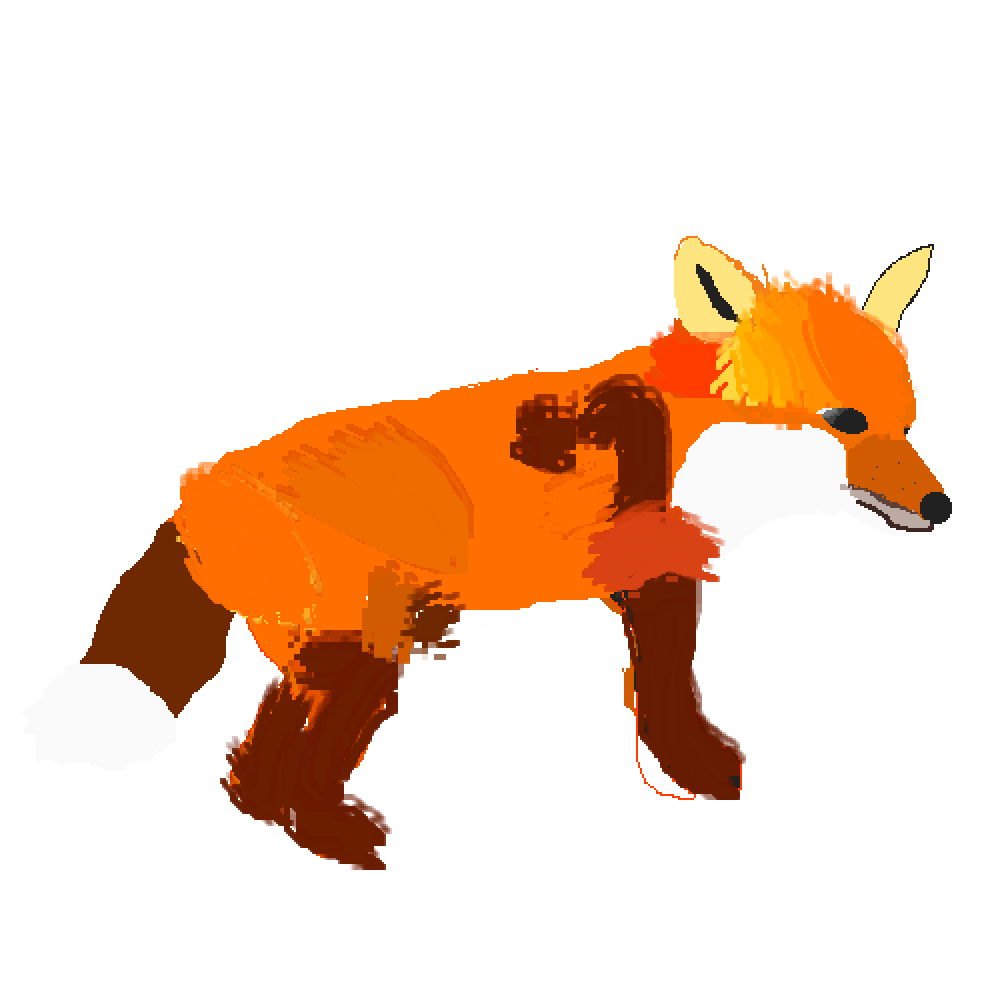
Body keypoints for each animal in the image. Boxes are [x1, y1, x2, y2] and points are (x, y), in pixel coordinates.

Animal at [24, 236, 950, 866]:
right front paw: (698, 766)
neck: (696, 444)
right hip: (369, 648)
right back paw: (340, 837)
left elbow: (658, 685)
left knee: (253, 772)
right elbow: (668, 689)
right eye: (843, 422)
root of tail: (201, 486)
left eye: (906, 421)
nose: (943, 509)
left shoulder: (653, 581)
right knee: (265, 768)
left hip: (335, 653)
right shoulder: (657, 577)